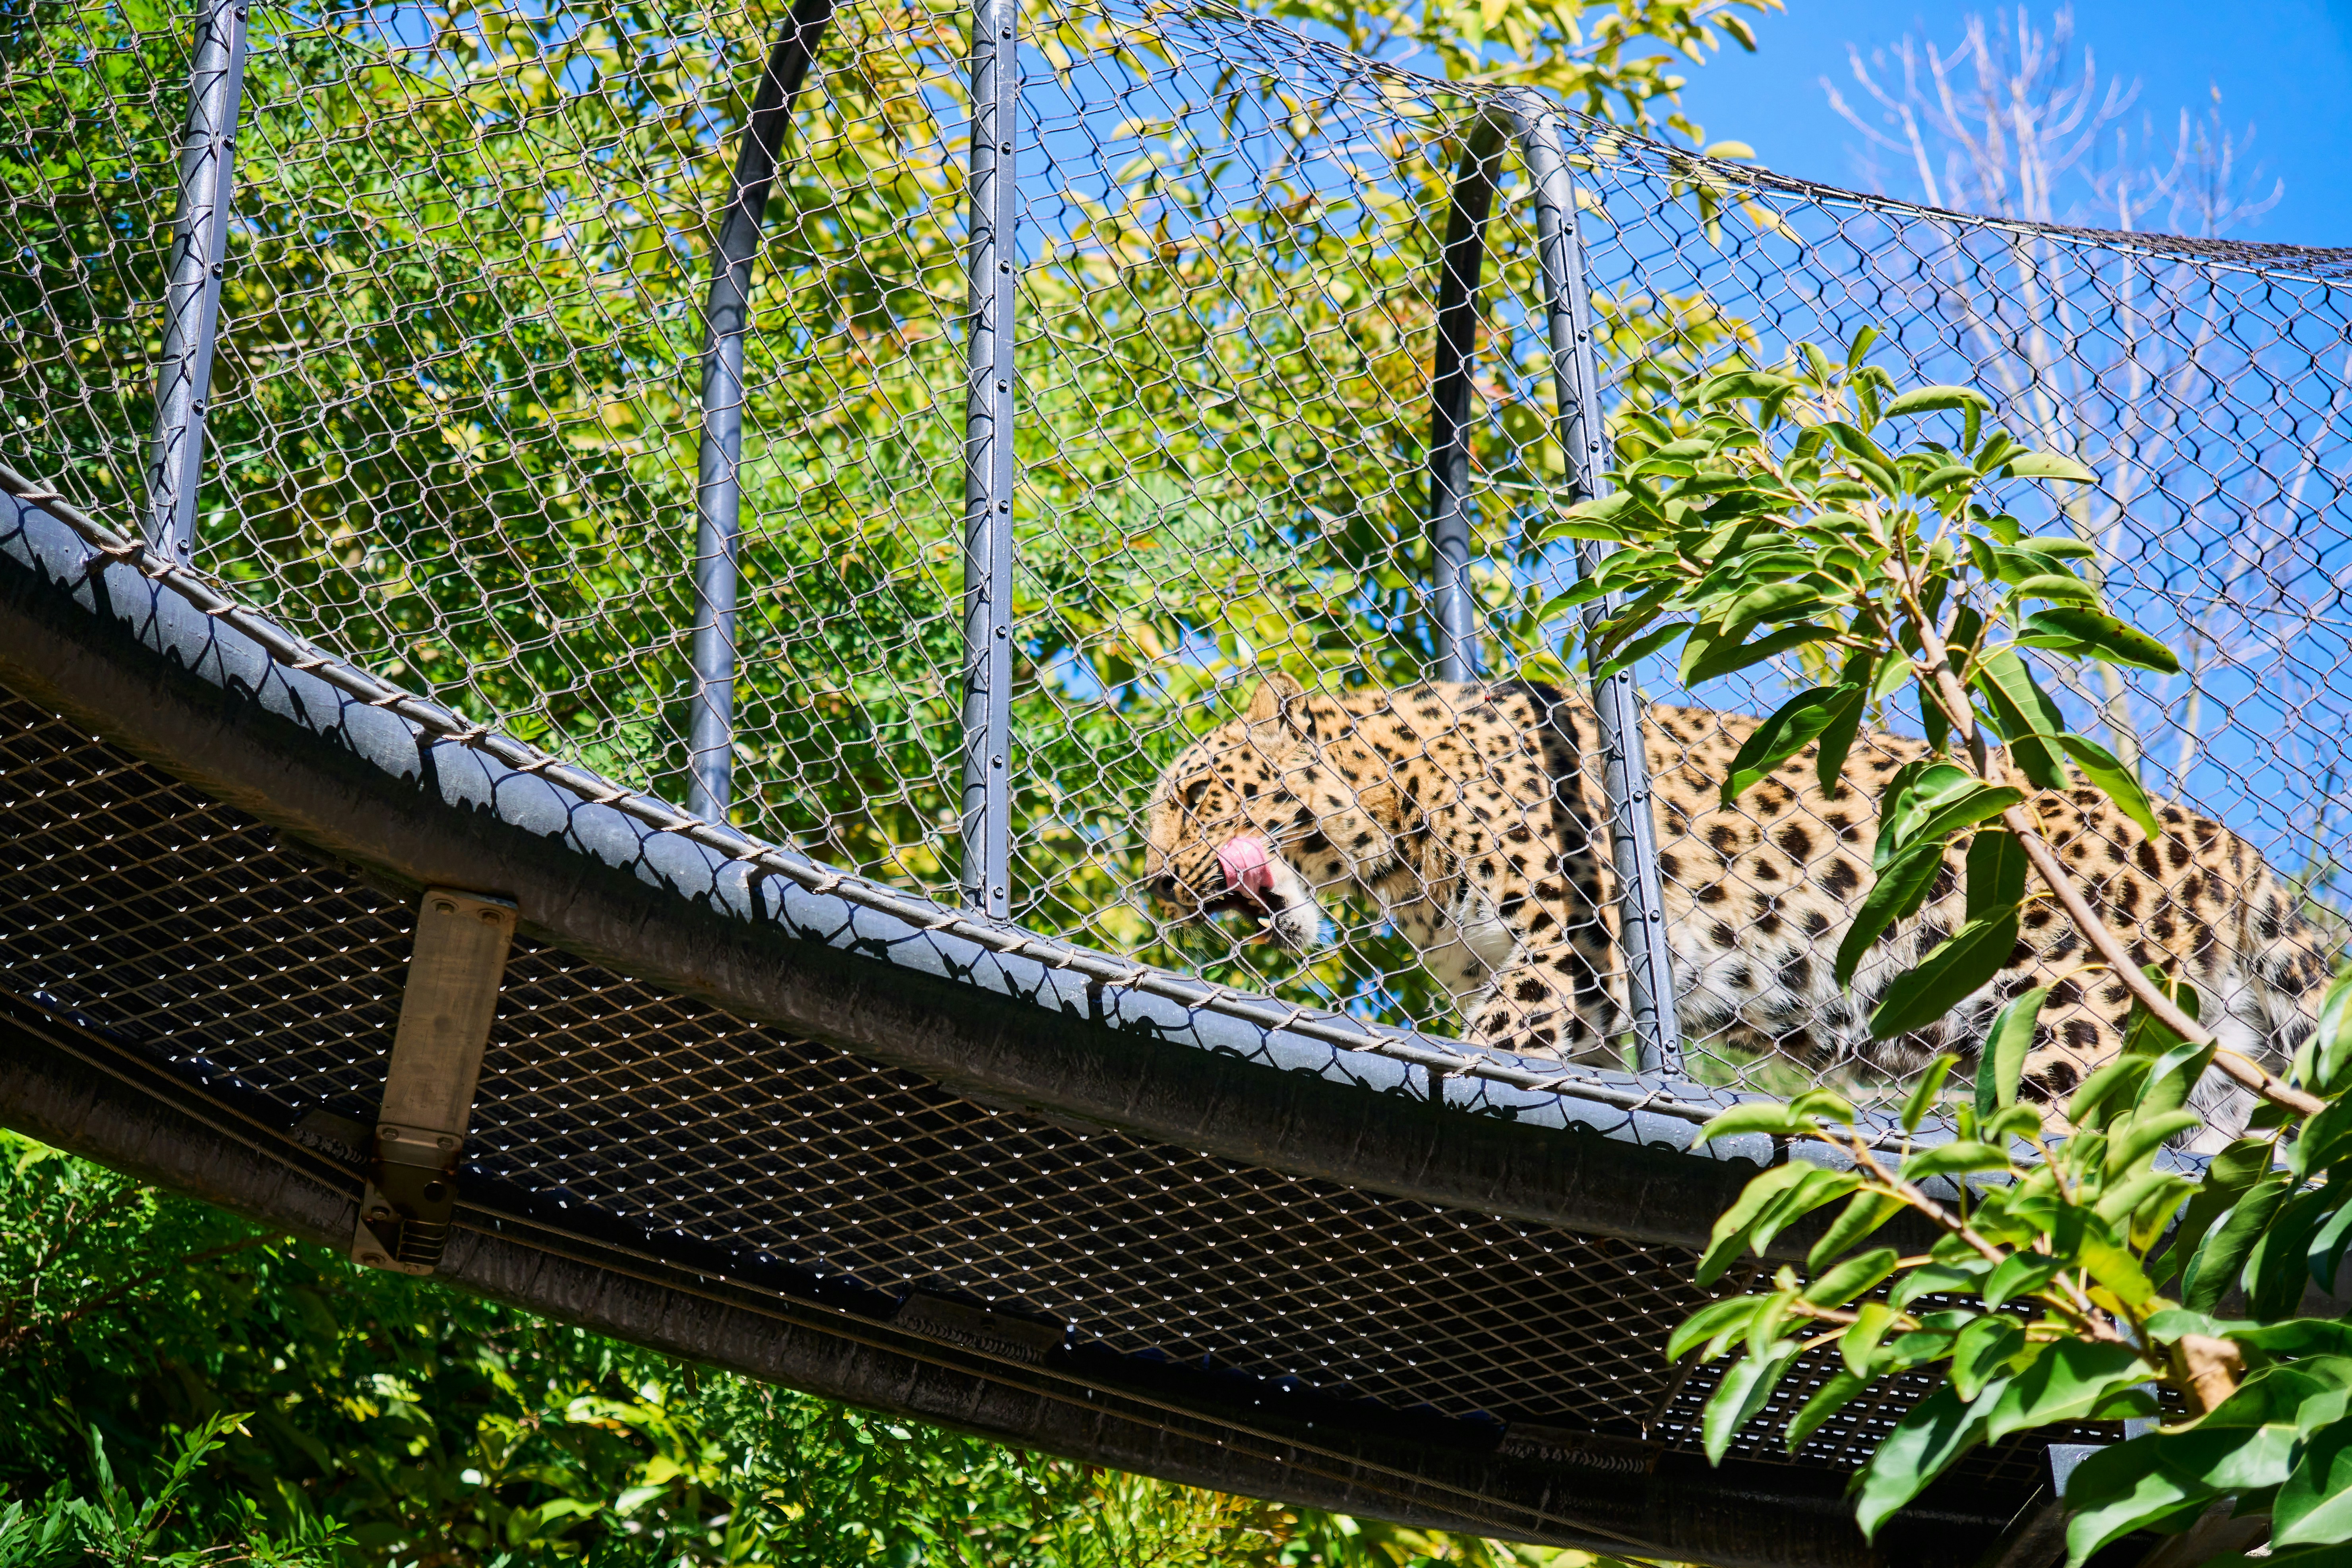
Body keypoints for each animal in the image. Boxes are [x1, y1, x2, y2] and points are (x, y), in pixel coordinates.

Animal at [1143, 672, 2333, 1145]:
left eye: (1197, 795)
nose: (1152, 882)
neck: (1398, 831)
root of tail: (2229, 848)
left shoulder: (1566, 950)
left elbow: (1495, 1044)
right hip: (2215, 1062)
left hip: (2071, 1002)